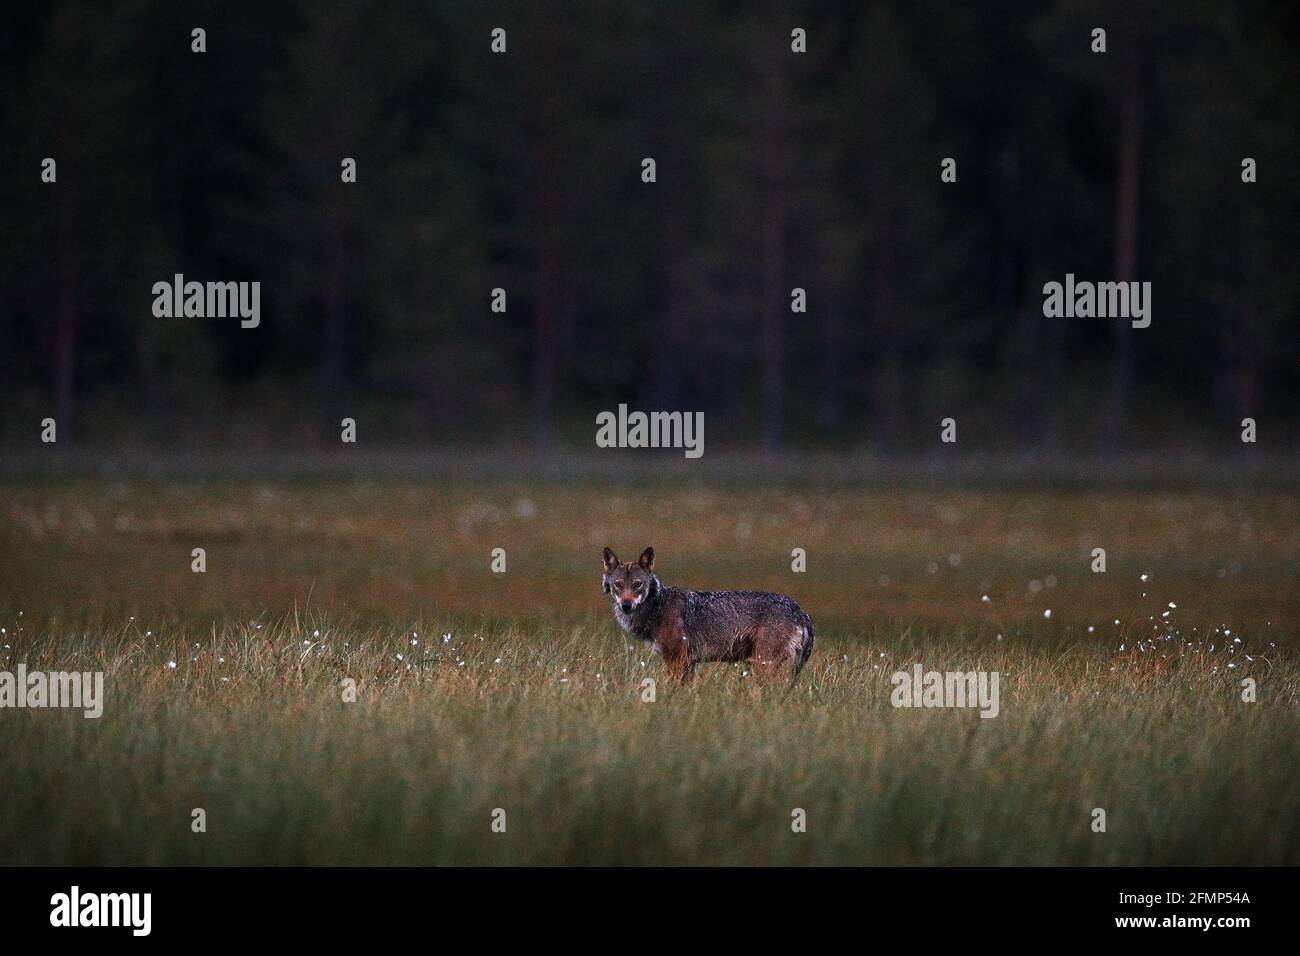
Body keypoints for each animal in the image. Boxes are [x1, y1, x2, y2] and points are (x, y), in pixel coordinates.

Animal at [601, 547, 815, 684]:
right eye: (618, 585)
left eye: (637, 585)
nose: (626, 605)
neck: (657, 607)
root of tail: (801, 611)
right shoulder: (688, 663)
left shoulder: (678, 660)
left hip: (763, 665)